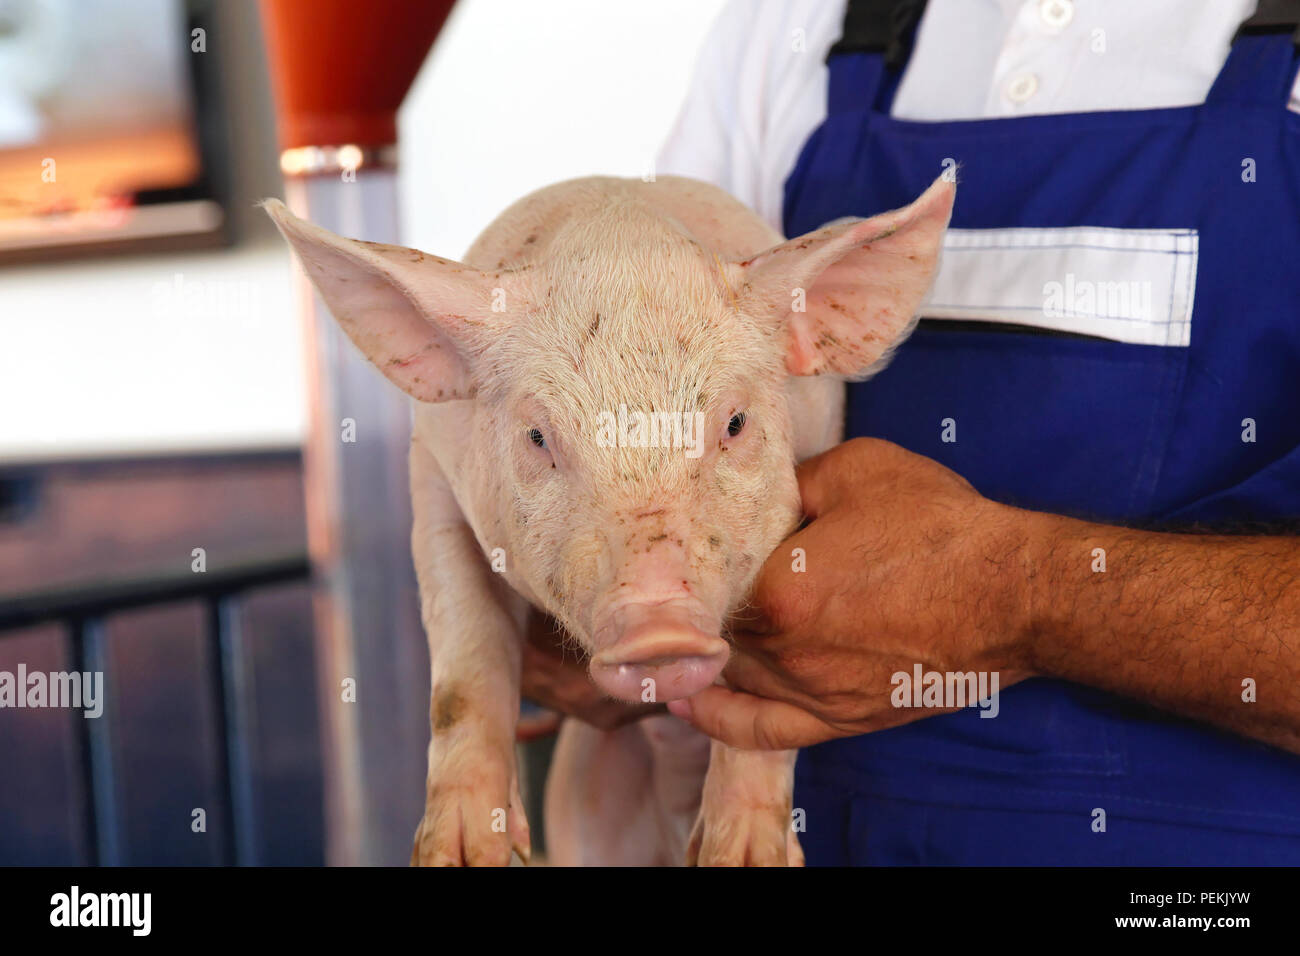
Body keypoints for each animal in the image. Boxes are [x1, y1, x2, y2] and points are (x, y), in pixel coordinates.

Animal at [265, 173, 953, 866]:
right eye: (538, 436)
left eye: (735, 423)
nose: (659, 631)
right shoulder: (432, 479)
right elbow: (464, 657)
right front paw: (459, 854)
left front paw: (744, 856)